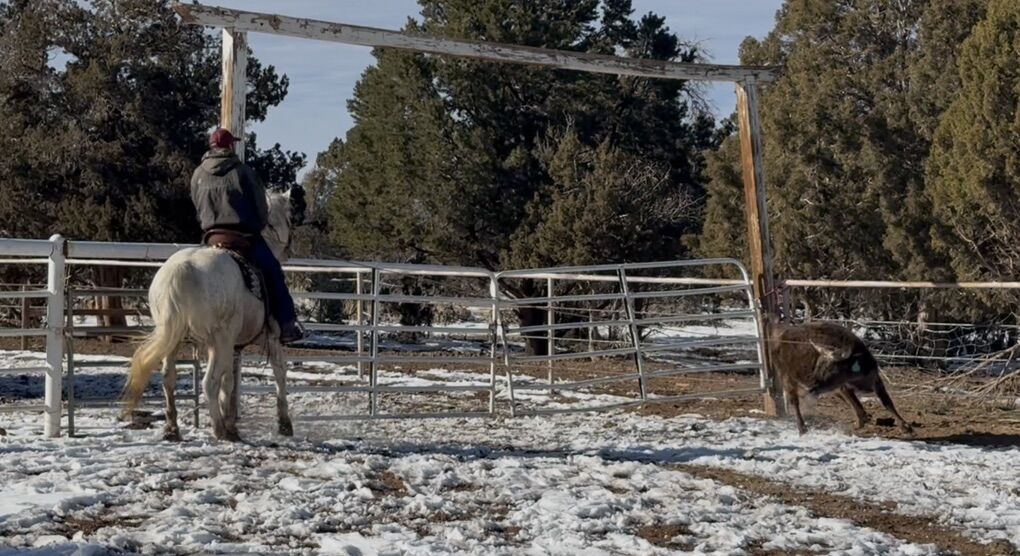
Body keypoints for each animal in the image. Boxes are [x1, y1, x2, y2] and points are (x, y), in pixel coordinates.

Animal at [123, 189, 300, 441]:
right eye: (289, 216)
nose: (287, 250)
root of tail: (181, 269)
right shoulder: (271, 337)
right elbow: (279, 371)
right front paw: (284, 424)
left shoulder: (230, 346)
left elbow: (230, 382)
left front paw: (232, 420)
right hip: (220, 339)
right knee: (209, 382)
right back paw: (219, 429)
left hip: (177, 338)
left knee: (169, 378)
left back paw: (173, 428)